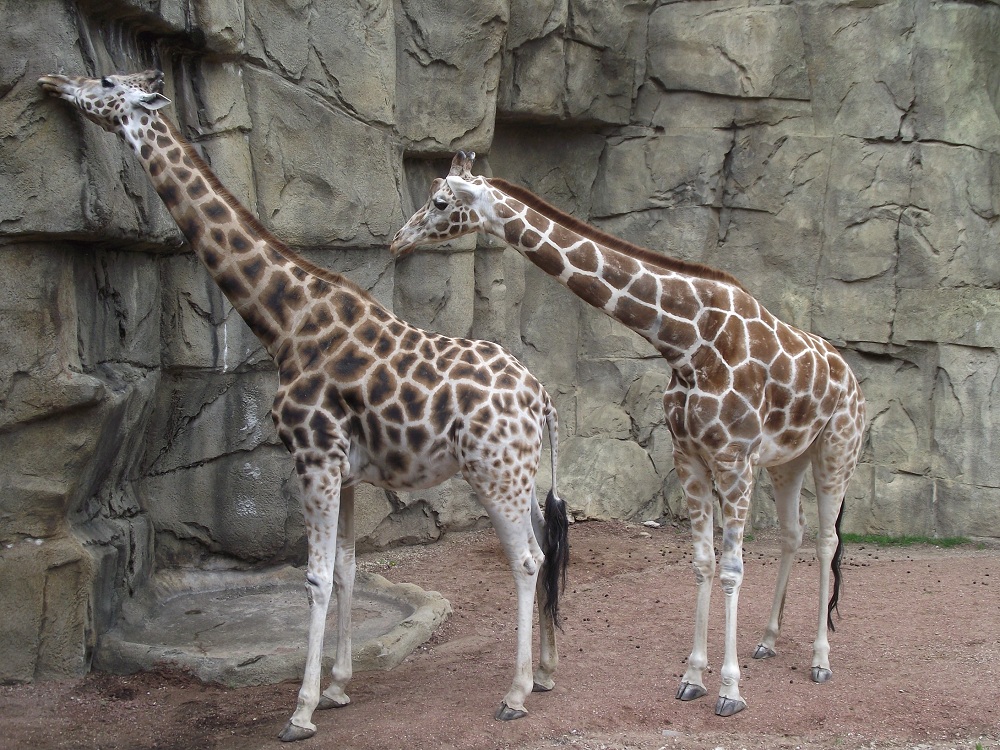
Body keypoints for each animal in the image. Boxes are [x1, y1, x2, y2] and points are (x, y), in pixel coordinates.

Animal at [39, 73, 569, 741]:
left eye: (107, 82)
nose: (54, 82)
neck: (285, 323)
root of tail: (542, 395)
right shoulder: (347, 470)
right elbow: (345, 568)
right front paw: (340, 686)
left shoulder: (313, 456)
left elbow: (313, 577)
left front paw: (301, 709)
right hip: (521, 474)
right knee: (546, 549)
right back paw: (546, 672)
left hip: (494, 471)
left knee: (526, 558)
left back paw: (516, 693)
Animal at [391, 150, 867, 717]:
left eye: (441, 202)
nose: (397, 239)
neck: (688, 341)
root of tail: (851, 376)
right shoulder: (689, 456)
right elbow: (703, 563)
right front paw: (693, 678)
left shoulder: (733, 459)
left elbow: (732, 568)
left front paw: (729, 692)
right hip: (787, 460)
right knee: (794, 535)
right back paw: (768, 641)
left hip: (836, 451)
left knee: (826, 539)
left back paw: (820, 660)